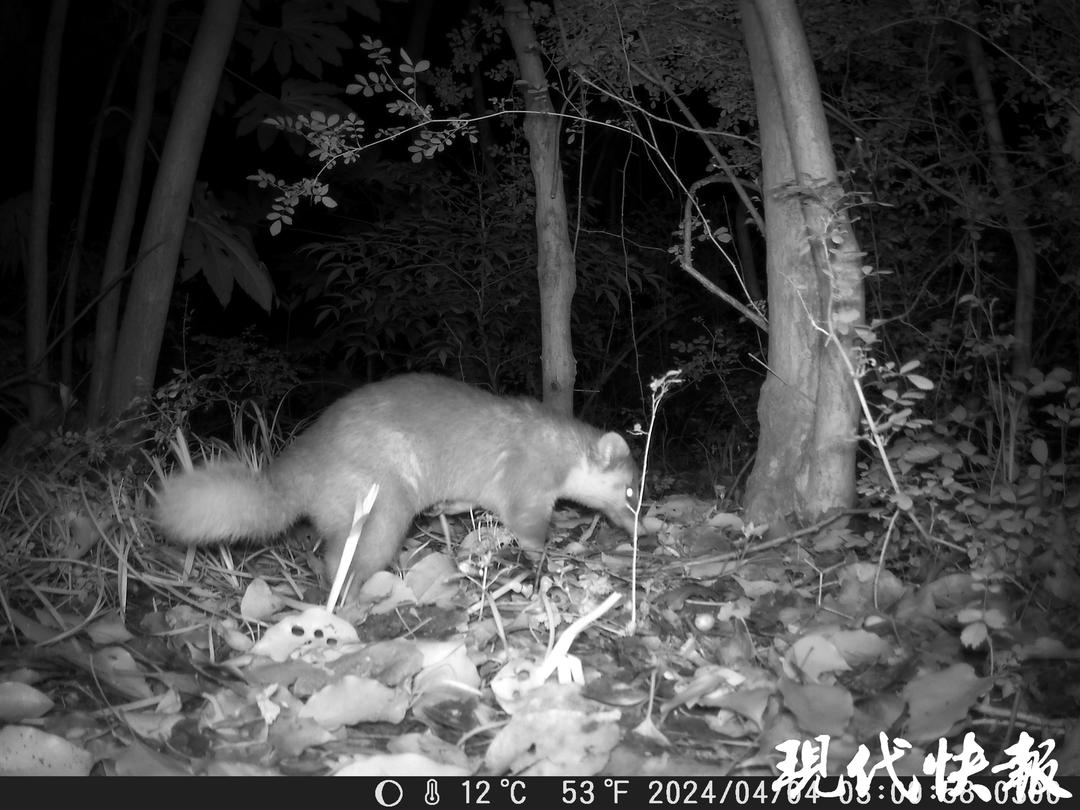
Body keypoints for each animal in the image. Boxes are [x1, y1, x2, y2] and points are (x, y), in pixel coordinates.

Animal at [154, 374, 642, 597]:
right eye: (631, 492)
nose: (640, 530)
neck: (560, 446)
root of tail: (297, 464)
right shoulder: (529, 487)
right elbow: (531, 530)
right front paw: (549, 556)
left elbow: (467, 504)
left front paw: (446, 510)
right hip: (383, 509)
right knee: (342, 560)